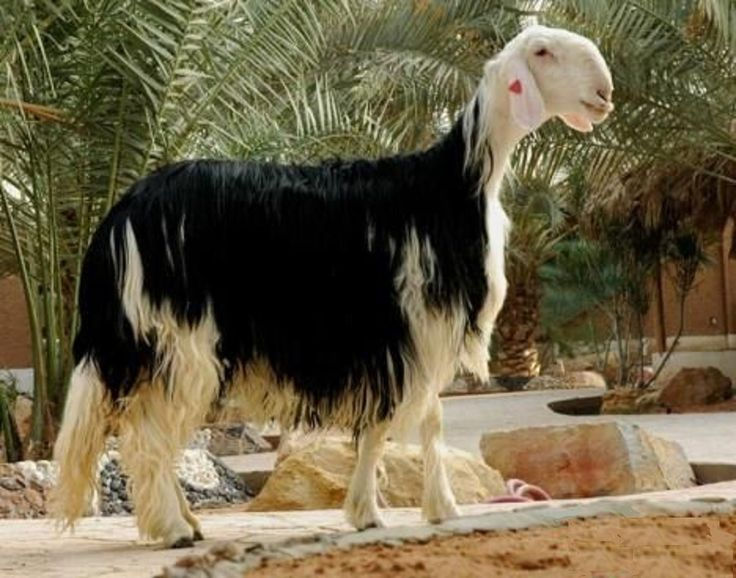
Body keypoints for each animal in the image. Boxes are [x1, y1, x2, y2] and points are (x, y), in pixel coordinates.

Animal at [50, 24, 613, 548]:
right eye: (543, 52)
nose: (604, 93)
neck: (453, 185)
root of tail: (119, 219)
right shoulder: (408, 327)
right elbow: (406, 424)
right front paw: (399, 510)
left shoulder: (399, 336)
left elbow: (412, 422)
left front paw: (407, 510)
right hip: (179, 334)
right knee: (148, 436)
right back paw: (172, 529)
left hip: (165, 343)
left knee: (155, 431)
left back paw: (184, 521)